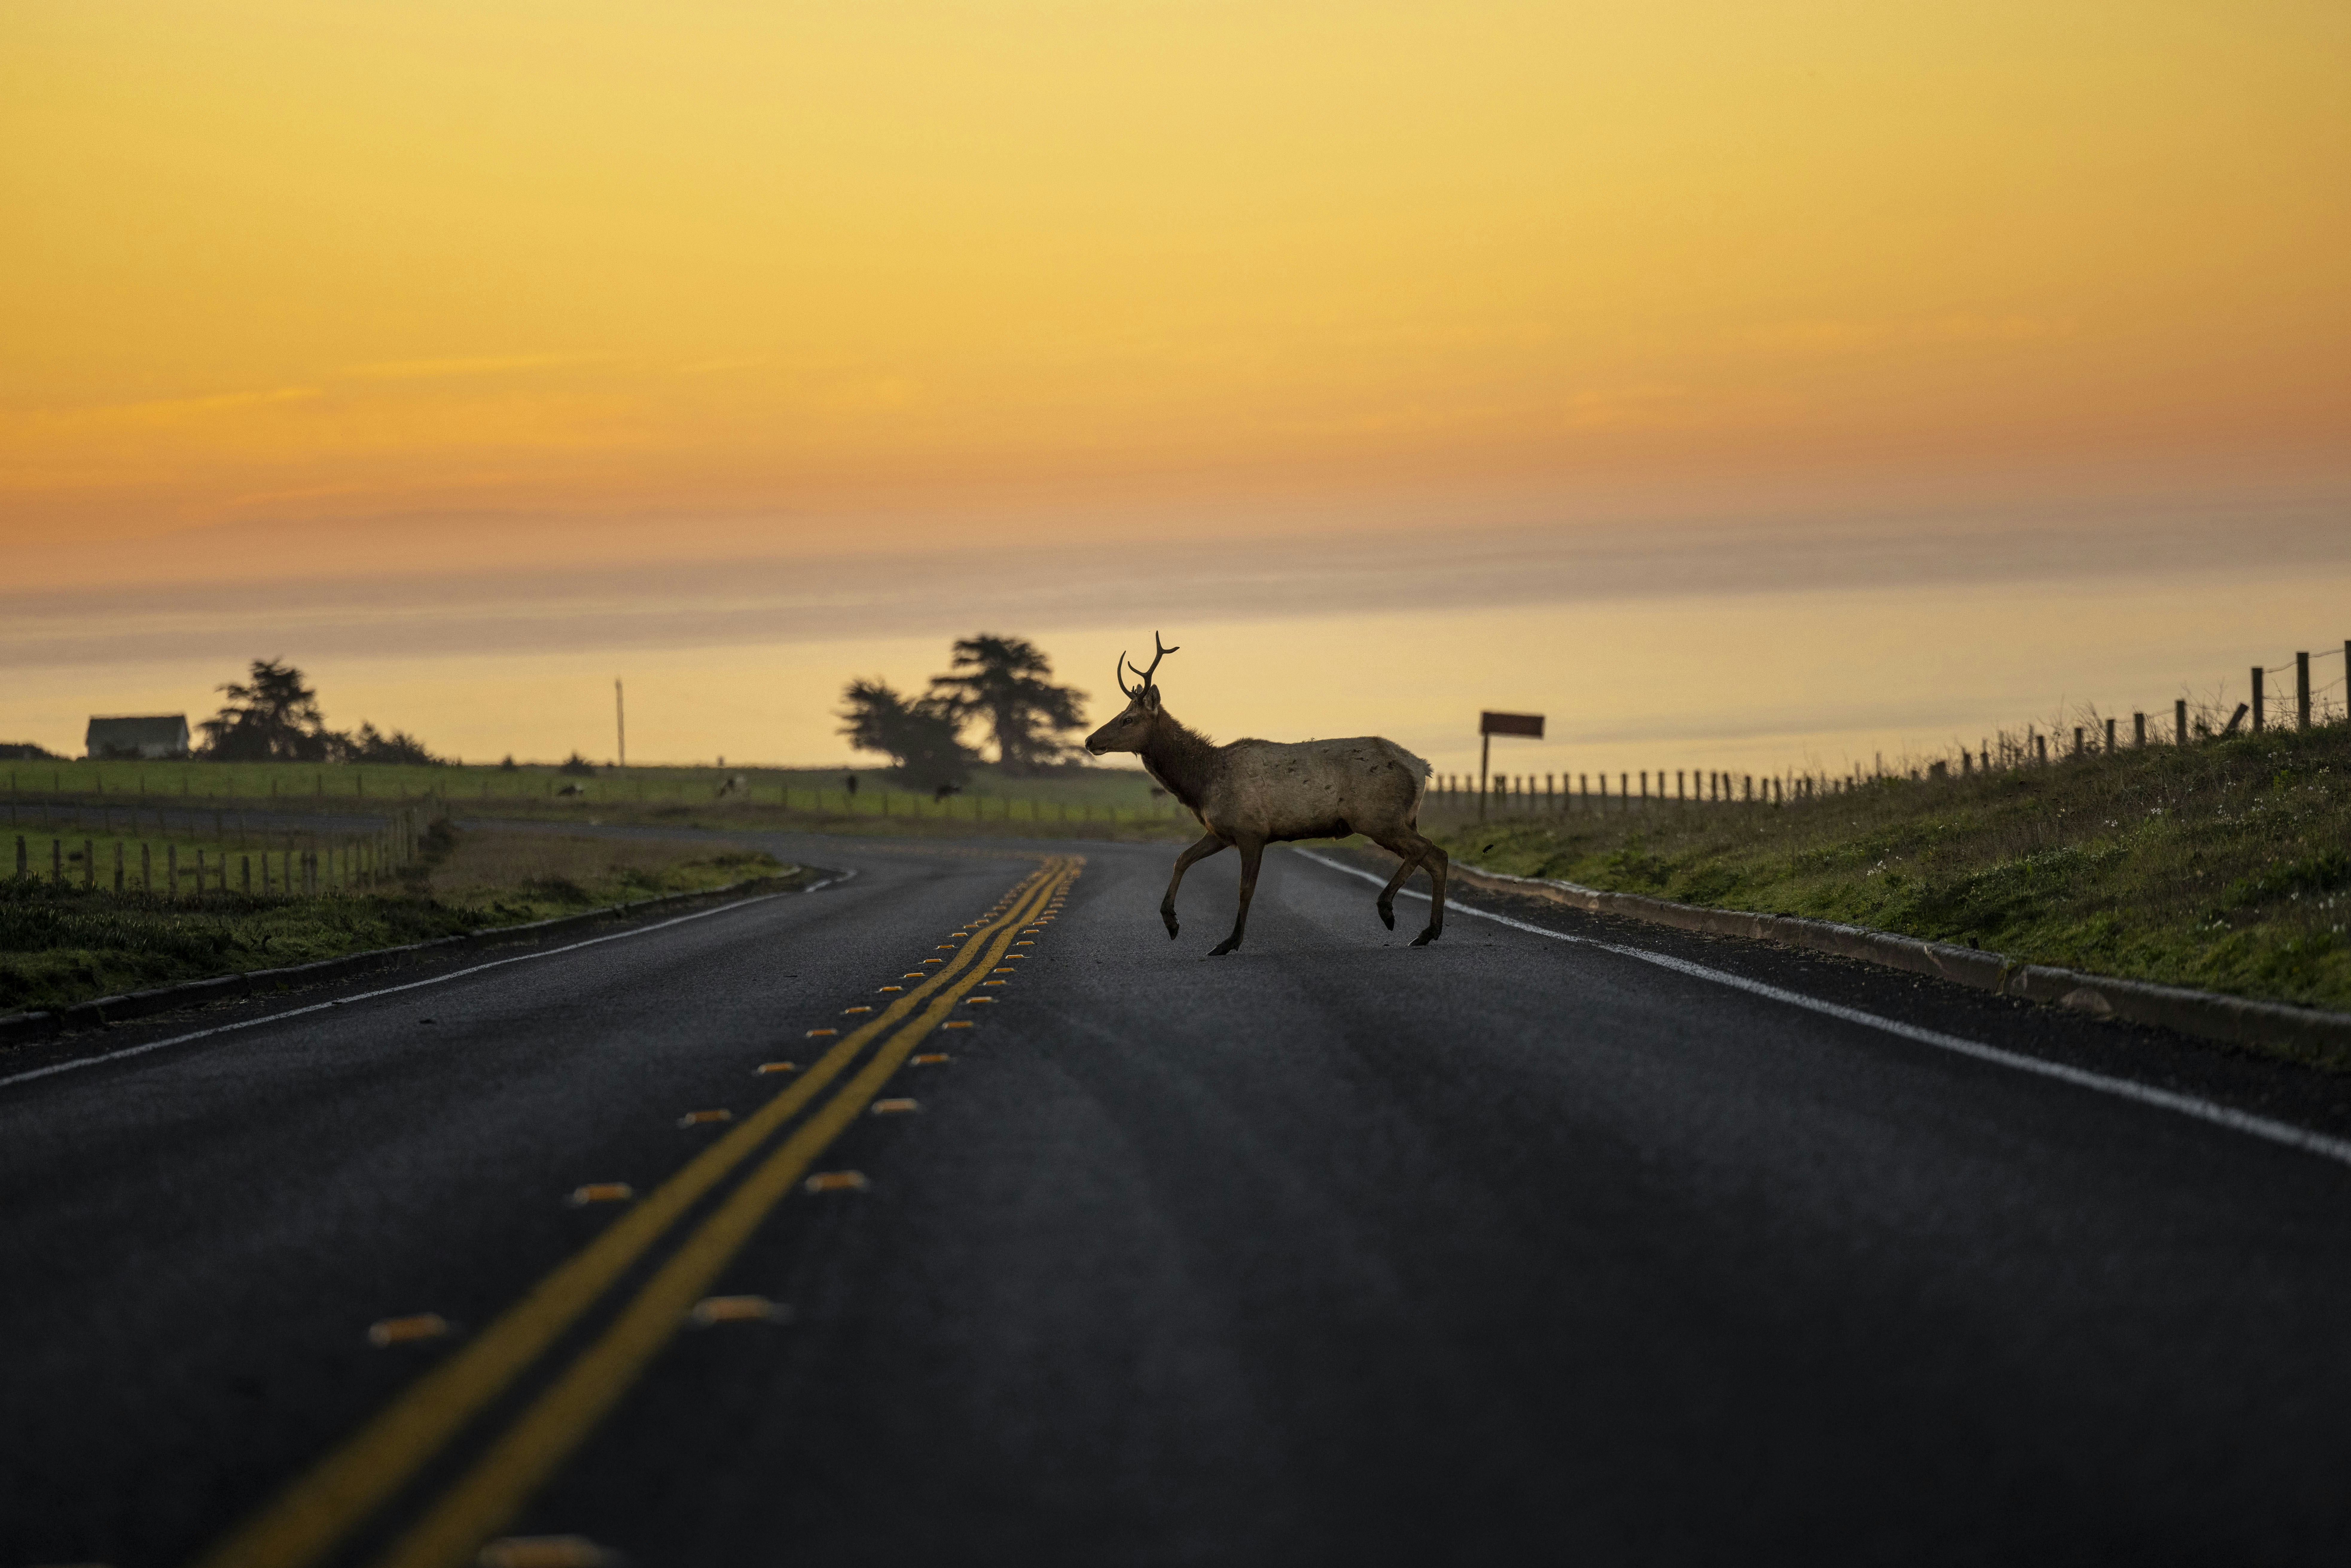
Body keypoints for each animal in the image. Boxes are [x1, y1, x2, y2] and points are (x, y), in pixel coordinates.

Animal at [1084, 633, 1446, 955]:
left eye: (1128, 718)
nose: (1090, 740)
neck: (1202, 783)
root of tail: (1421, 768)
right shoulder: (1221, 832)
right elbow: (1182, 858)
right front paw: (1171, 922)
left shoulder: (1251, 830)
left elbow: (1245, 889)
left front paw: (1230, 942)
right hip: (1399, 819)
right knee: (1437, 856)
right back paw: (1427, 932)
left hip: (1377, 817)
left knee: (1426, 849)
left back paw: (1388, 910)